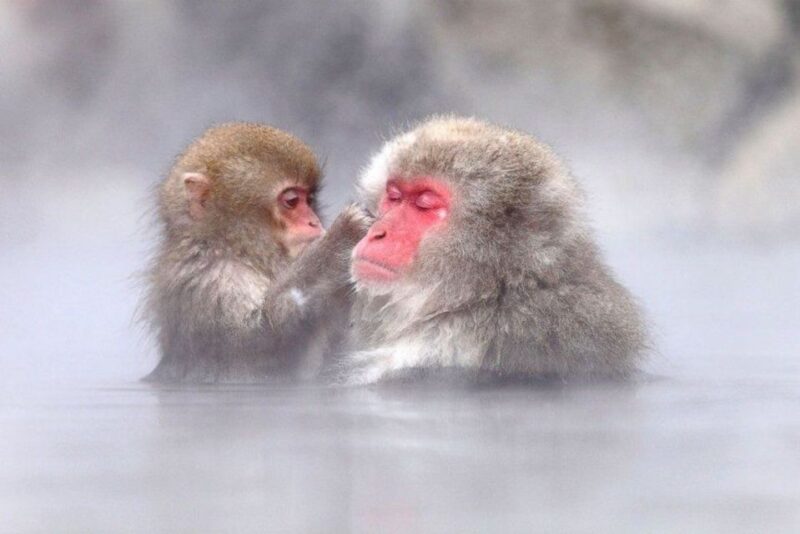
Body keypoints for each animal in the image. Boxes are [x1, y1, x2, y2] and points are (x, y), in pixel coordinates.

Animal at [141, 122, 370, 383]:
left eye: (309, 200)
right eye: (292, 201)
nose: (314, 222)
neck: (236, 250)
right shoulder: (211, 281)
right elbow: (259, 344)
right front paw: (340, 240)